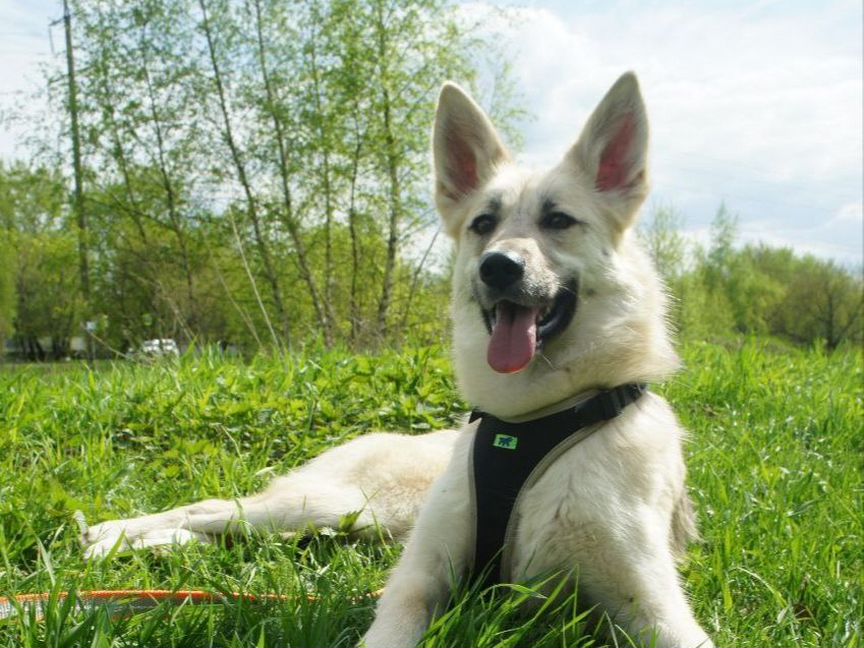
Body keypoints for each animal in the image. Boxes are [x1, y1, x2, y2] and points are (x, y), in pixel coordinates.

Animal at [82, 73, 716, 648]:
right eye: (483, 224)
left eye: (559, 220)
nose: (497, 267)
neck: (534, 422)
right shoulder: (416, 580)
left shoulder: (655, 607)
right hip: (328, 507)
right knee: (212, 508)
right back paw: (114, 535)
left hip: (339, 526)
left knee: (232, 529)